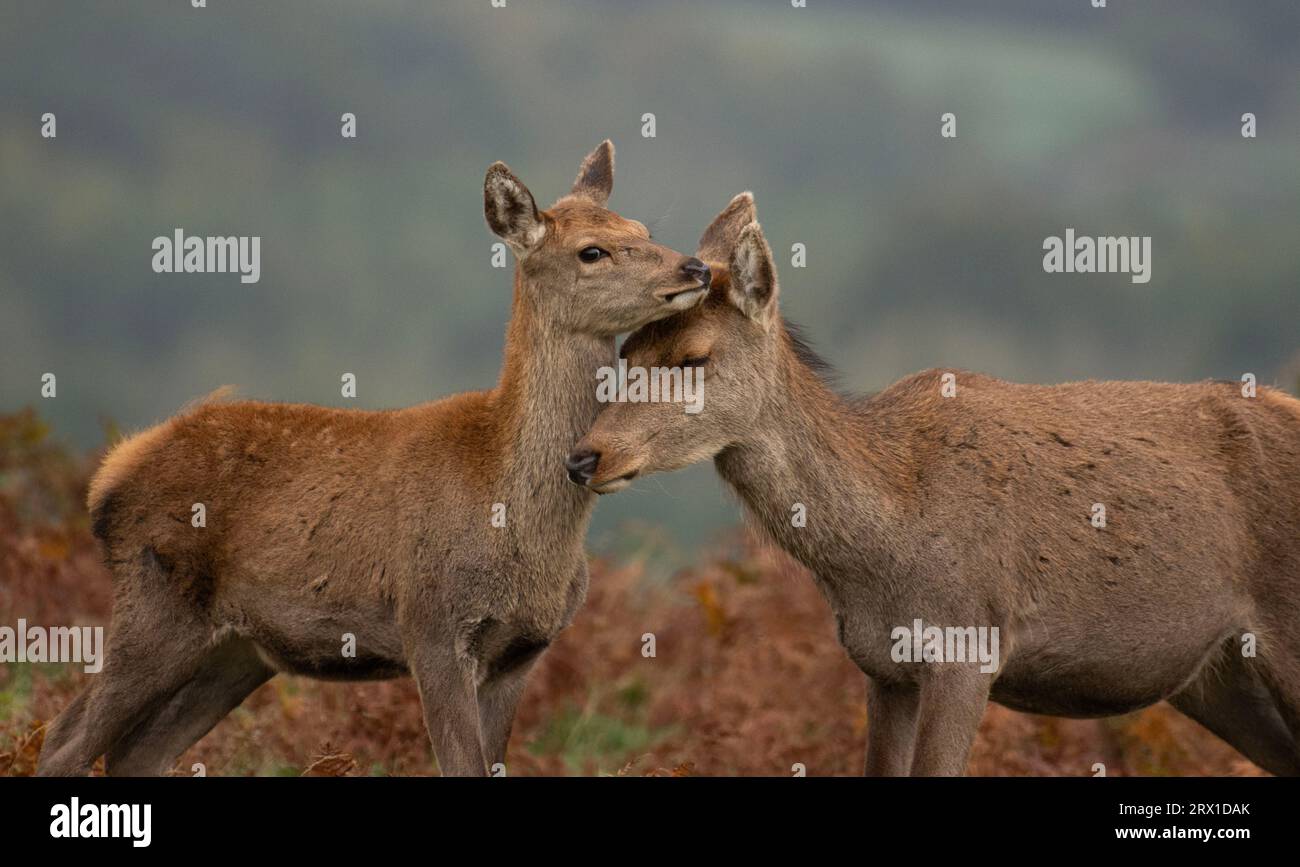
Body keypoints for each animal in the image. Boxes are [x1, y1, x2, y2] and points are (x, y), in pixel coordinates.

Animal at [36, 141, 713, 777]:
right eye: (592, 252)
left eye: (643, 229)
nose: (697, 265)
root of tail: (110, 475)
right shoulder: (433, 626)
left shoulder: (522, 651)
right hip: (156, 599)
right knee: (63, 736)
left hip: (238, 651)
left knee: (138, 750)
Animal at [567, 202, 1300, 776]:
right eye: (627, 352)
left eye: (693, 358)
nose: (584, 456)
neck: (886, 543)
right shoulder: (881, 666)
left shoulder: (968, 645)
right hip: (1221, 678)